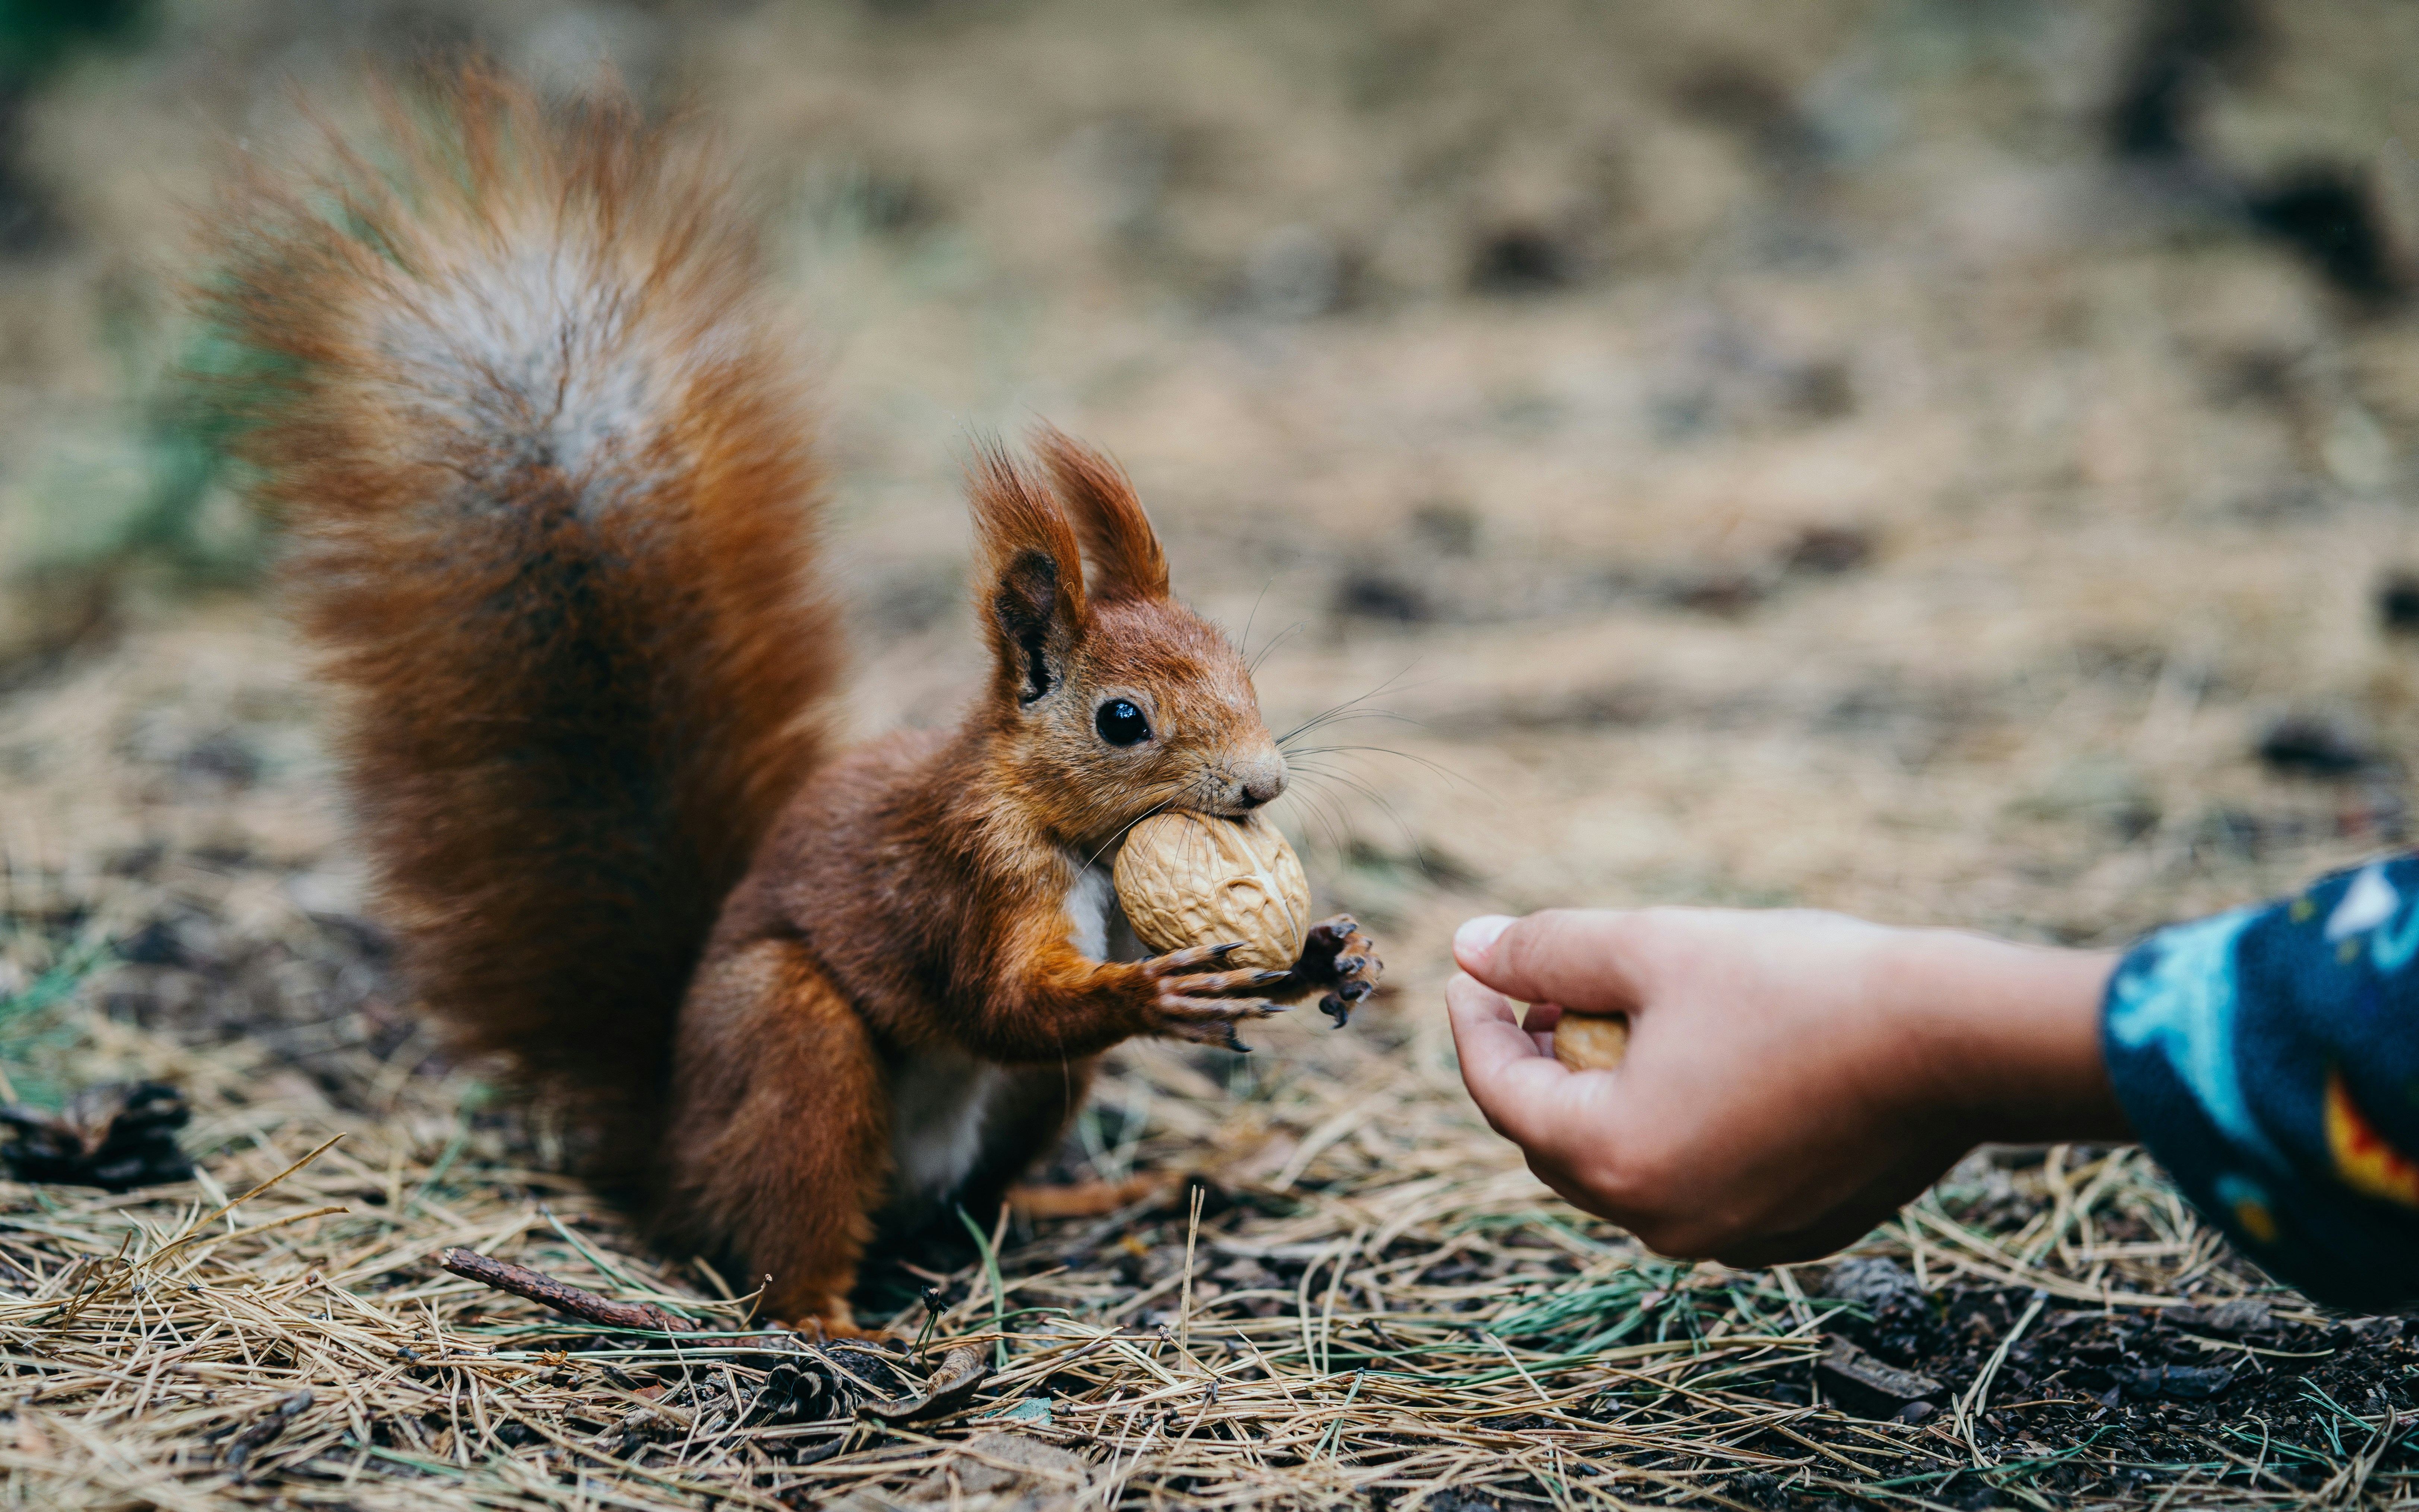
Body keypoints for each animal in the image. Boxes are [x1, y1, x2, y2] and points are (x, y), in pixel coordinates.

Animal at [202, 68, 1382, 1333]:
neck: (1083, 837)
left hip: (1027, 1108)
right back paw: (826, 1323)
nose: (1263, 783)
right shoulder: (969, 872)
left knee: (974, 1197)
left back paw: (1073, 1202)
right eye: (1123, 719)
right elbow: (1003, 1003)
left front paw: (1329, 953)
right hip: (791, 1043)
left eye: (1240, 666)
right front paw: (1157, 990)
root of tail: (669, 1153)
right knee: (789, 1226)